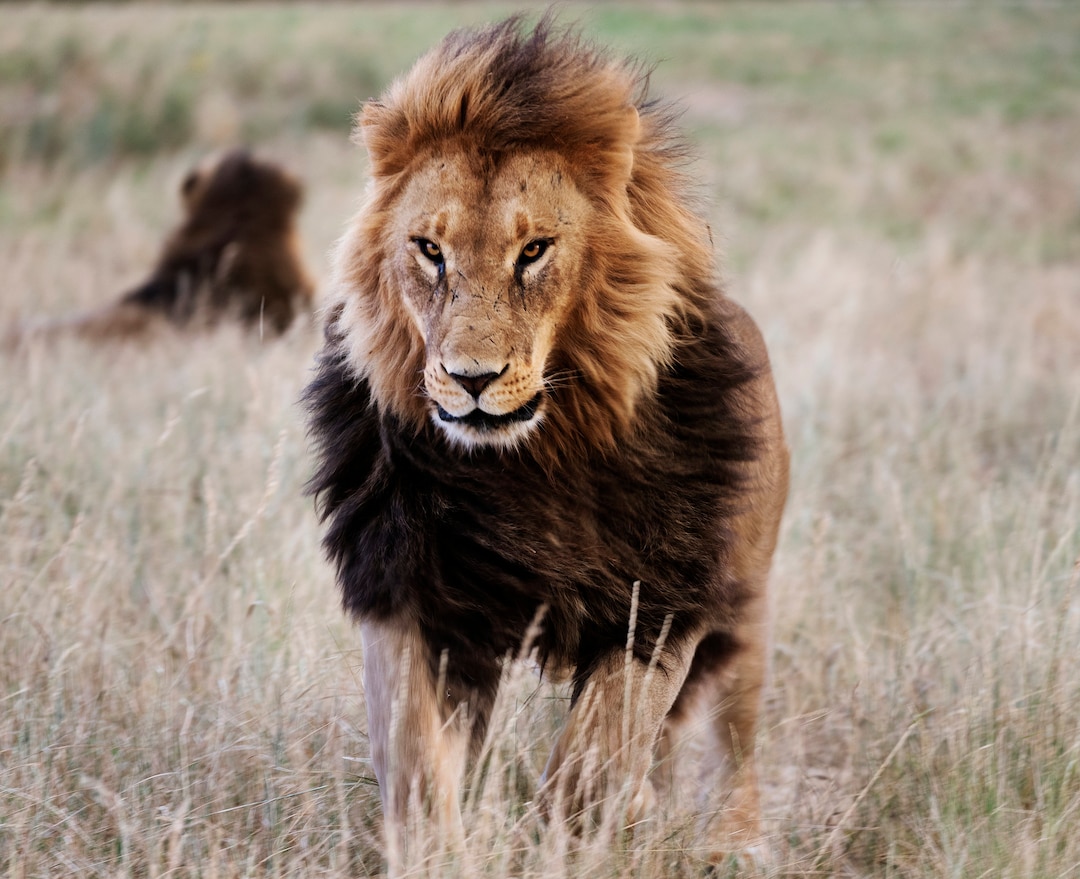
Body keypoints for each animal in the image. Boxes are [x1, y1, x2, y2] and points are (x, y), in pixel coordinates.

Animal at [304, 17, 789, 869]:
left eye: (533, 251)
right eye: (429, 249)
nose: (471, 378)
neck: (533, 464)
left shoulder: (661, 601)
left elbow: (596, 750)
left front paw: (562, 841)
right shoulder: (408, 589)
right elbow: (414, 755)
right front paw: (436, 853)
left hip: (746, 607)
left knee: (733, 738)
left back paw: (732, 841)